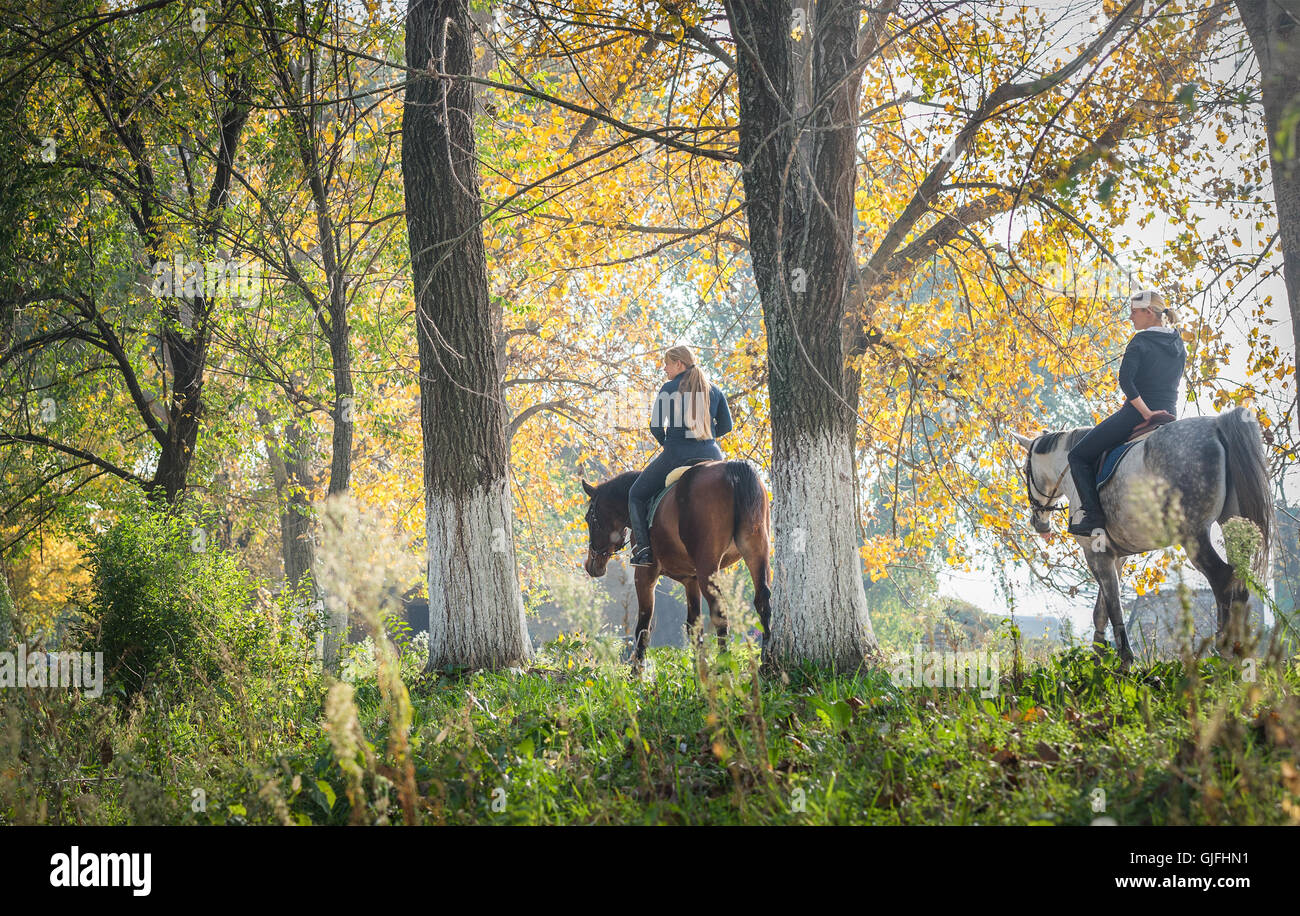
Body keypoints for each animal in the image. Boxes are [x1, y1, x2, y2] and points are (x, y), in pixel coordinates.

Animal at [582, 457, 769, 665]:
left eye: (589, 519)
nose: (590, 566)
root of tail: (731, 469)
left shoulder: (645, 574)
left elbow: (643, 628)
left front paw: (637, 671)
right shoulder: (690, 580)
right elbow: (694, 628)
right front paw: (700, 668)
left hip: (708, 569)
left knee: (720, 613)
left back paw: (724, 664)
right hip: (756, 551)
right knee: (762, 599)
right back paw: (766, 661)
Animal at [1013, 407, 1268, 665]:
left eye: (1025, 470)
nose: (1038, 523)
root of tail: (1216, 425)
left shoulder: (1095, 552)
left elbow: (1113, 605)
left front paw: (1123, 658)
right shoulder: (1116, 556)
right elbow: (1101, 609)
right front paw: (1100, 655)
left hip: (1194, 535)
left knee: (1222, 578)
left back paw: (1223, 651)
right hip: (1234, 525)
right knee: (1239, 583)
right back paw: (1240, 651)